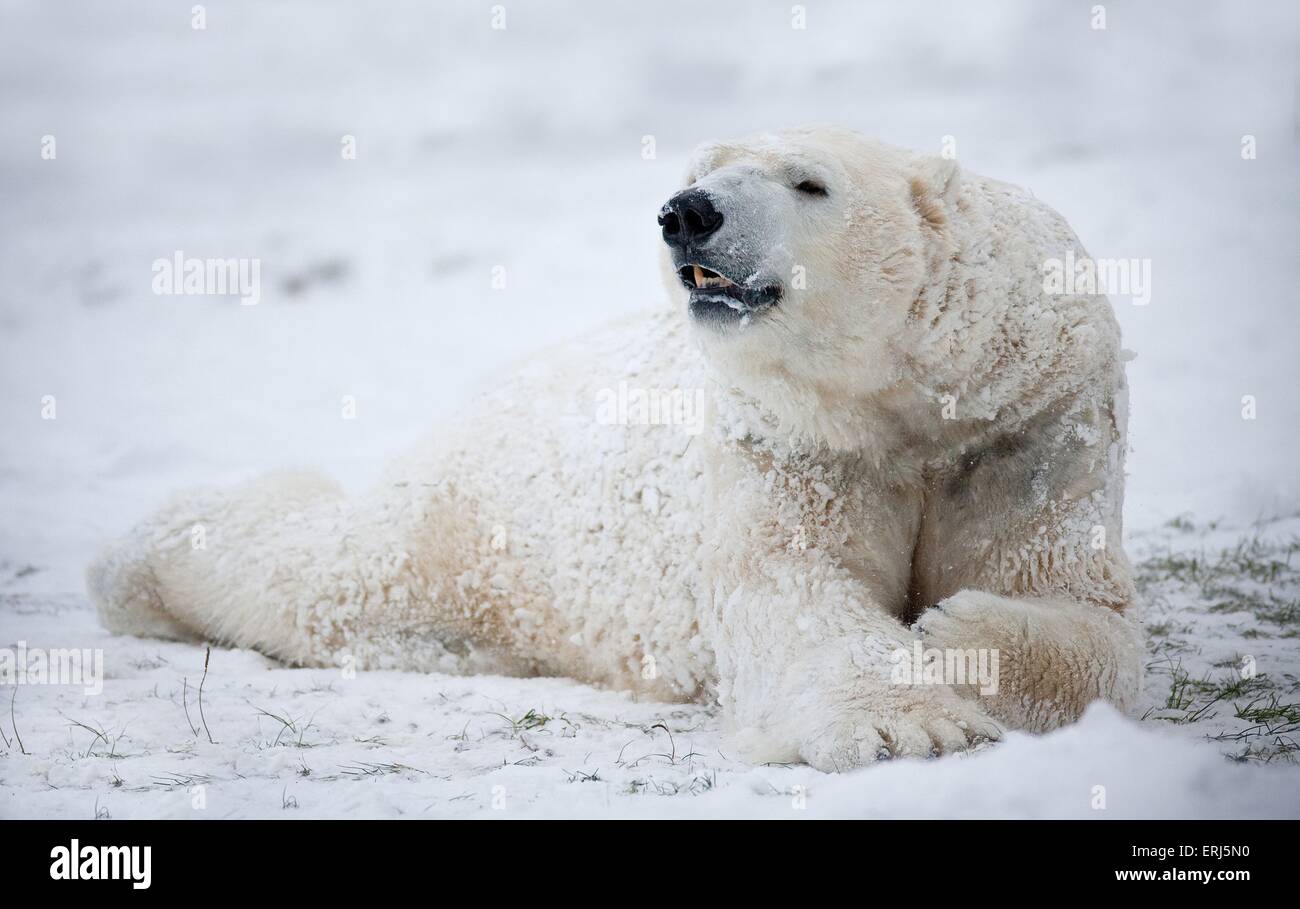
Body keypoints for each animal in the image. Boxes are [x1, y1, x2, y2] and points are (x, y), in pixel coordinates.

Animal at [88, 127, 1143, 771]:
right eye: (706, 161)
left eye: (811, 181)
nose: (689, 210)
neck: (902, 404)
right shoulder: (784, 443)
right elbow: (793, 593)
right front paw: (907, 719)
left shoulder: (1033, 422)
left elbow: (1083, 612)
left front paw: (953, 631)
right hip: (478, 528)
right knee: (321, 575)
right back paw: (144, 558)